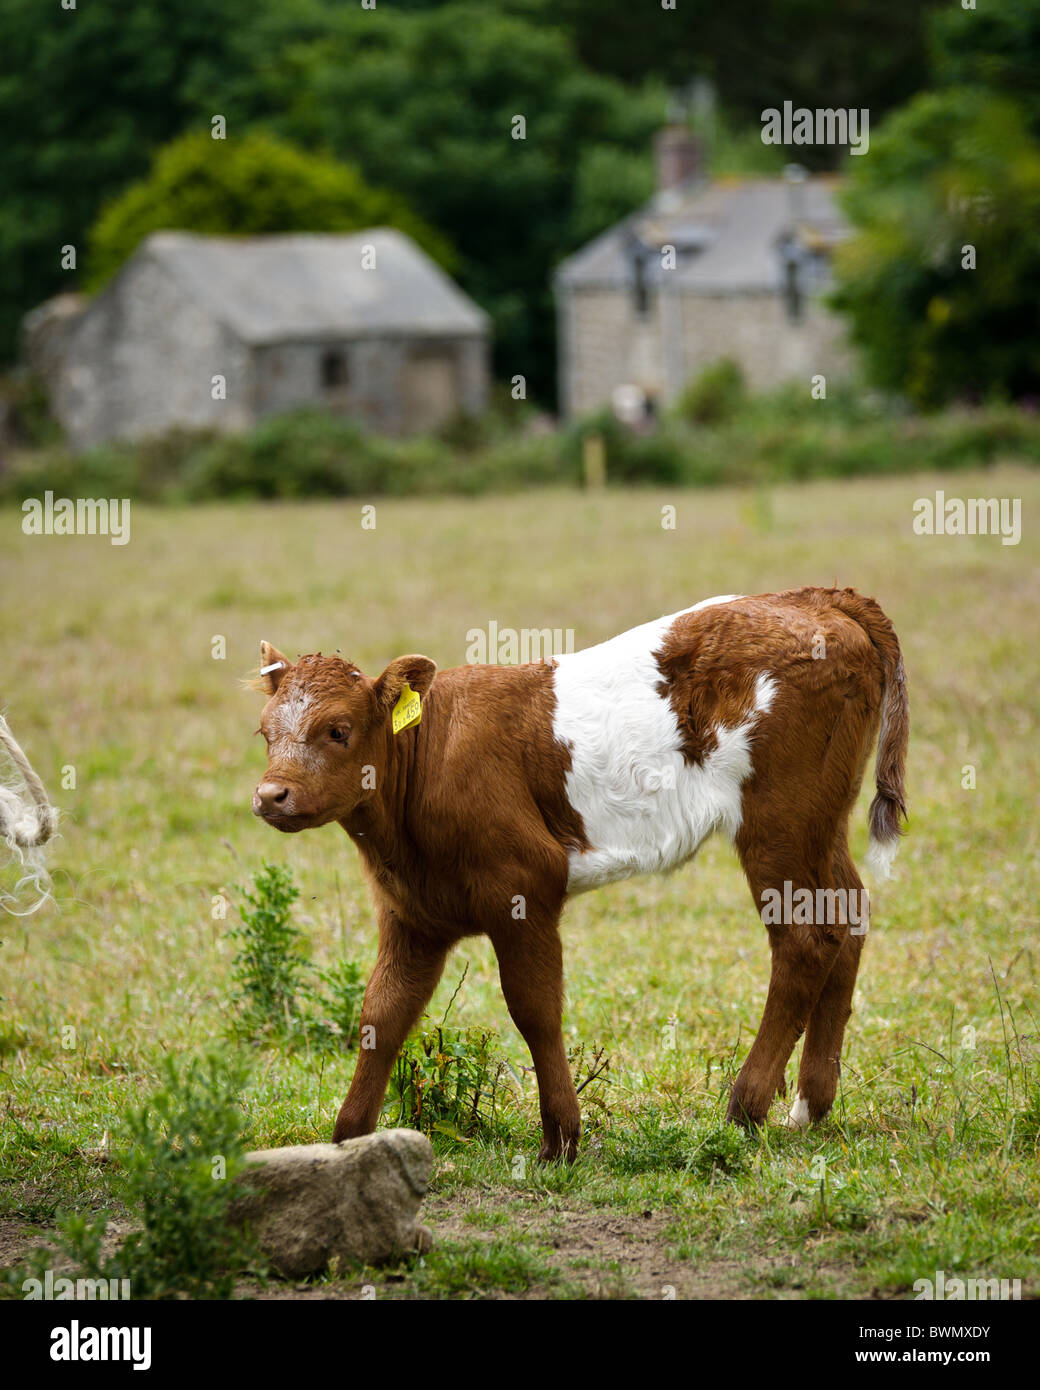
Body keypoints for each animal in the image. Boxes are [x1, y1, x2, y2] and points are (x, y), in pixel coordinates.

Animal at [251, 586, 908, 1160]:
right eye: (264, 731)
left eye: (338, 730)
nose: (270, 795)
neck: (423, 760)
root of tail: (815, 596)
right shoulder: (413, 913)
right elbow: (382, 1015)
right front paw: (348, 1140)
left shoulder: (523, 885)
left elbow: (535, 1009)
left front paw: (560, 1139)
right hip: (820, 824)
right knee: (848, 916)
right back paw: (809, 1105)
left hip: (779, 825)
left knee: (805, 940)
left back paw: (744, 1109)